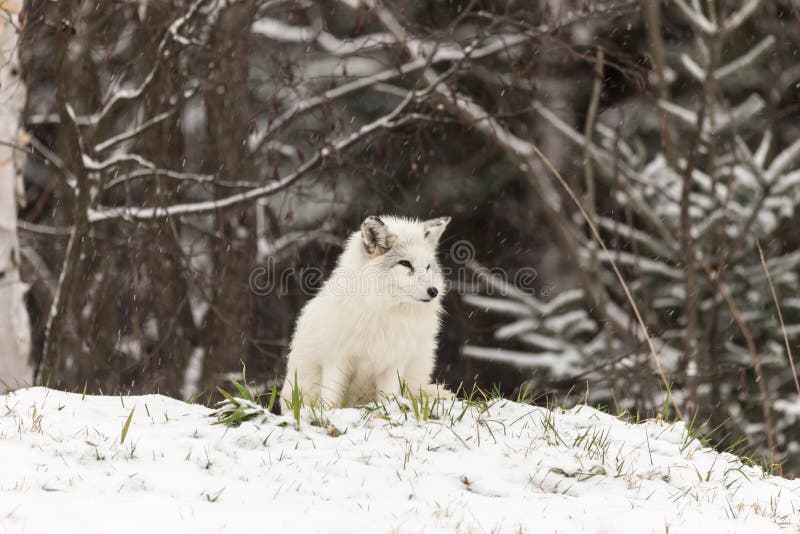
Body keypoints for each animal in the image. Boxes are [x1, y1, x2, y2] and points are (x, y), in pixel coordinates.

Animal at [281, 215, 452, 410]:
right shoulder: (336, 360)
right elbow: (330, 400)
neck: (383, 311)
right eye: (405, 263)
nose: (434, 291)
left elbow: (390, 397)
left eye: (428, 266)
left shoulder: (393, 364)